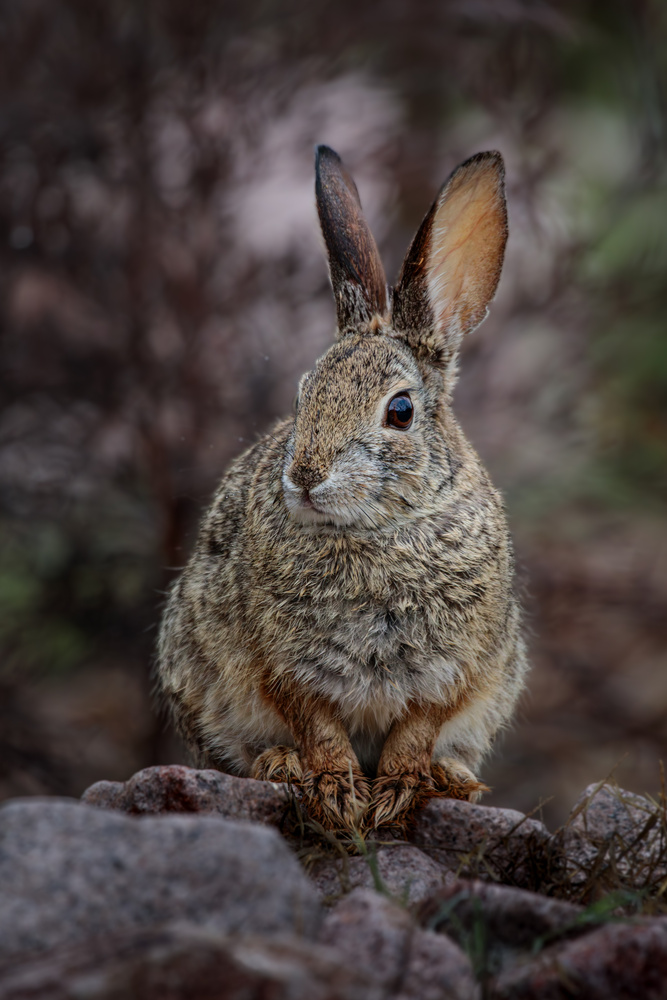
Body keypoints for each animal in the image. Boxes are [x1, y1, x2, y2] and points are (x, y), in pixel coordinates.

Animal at [157, 144, 528, 832]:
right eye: (304, 395)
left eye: (400, 411)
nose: (305, 476)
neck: (375, 533)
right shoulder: (287, 671)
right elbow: (319, 729)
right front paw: (335, 791)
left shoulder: (453, 672)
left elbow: (416, 732)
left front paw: (399, 790)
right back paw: (279, 765)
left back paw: (452, 778)